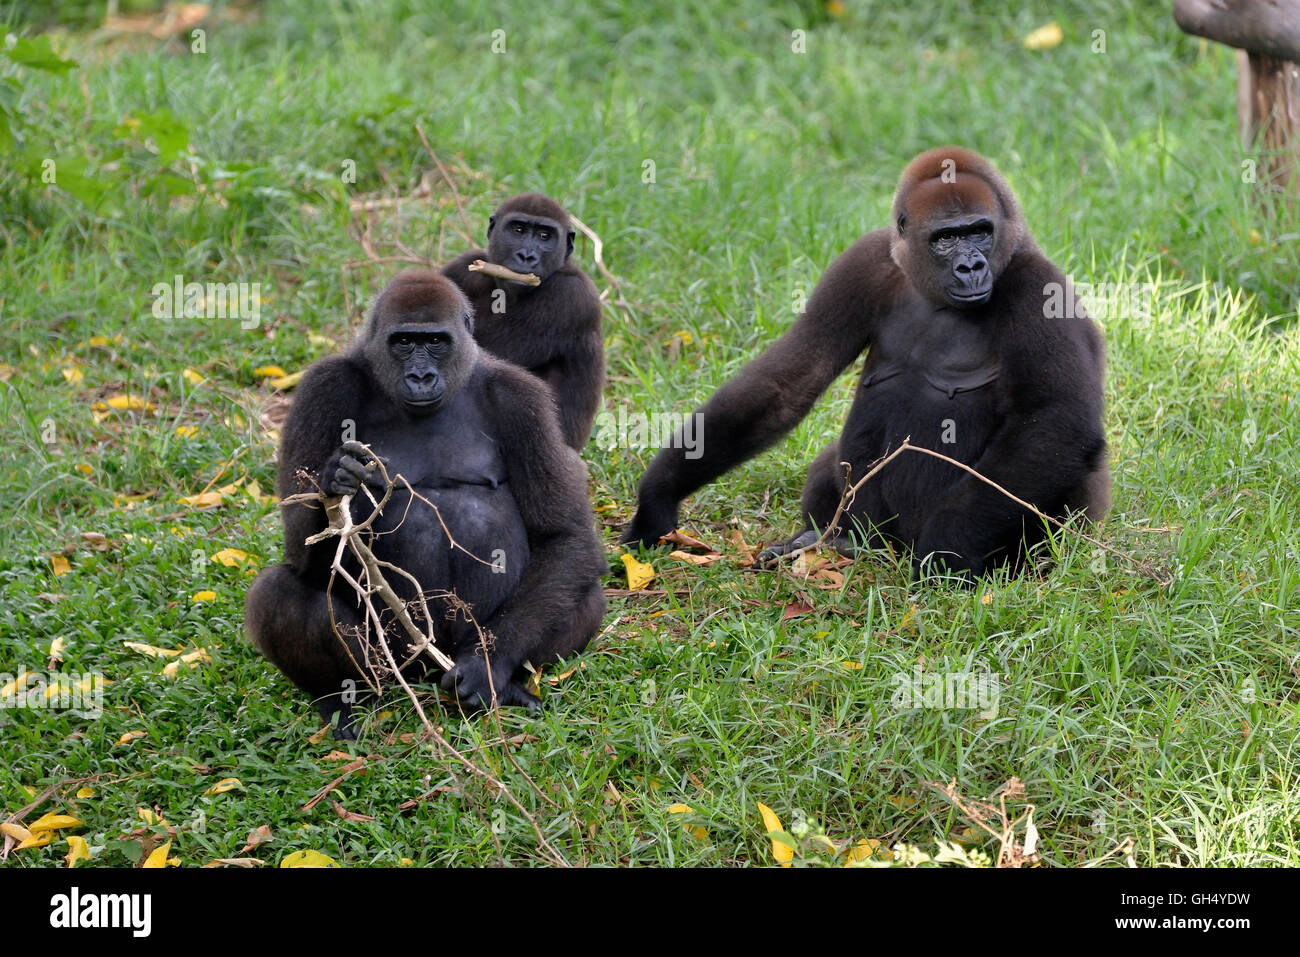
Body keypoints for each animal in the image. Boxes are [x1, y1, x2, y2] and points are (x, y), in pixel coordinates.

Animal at [244, 270, 607, 738]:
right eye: (403, 342)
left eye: (435, 340)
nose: (419, 376)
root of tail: (429, 672)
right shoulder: (322, 388)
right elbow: (301, 549)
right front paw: (335, 479)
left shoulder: (521, 398)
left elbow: (564, 537)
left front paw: (486, 668)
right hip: (394, 662)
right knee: (279, 595)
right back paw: (341, 701)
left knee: (582, 594)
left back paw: (506, 684)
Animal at [622, 147, 1109, 580]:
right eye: (946, 237)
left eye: (979, 231)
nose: (971, 267)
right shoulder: (866, 259)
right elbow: (790, 377)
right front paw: (660, 494)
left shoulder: (1039, 288)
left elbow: (1053, 423)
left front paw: (947, 551)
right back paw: (831, 540)